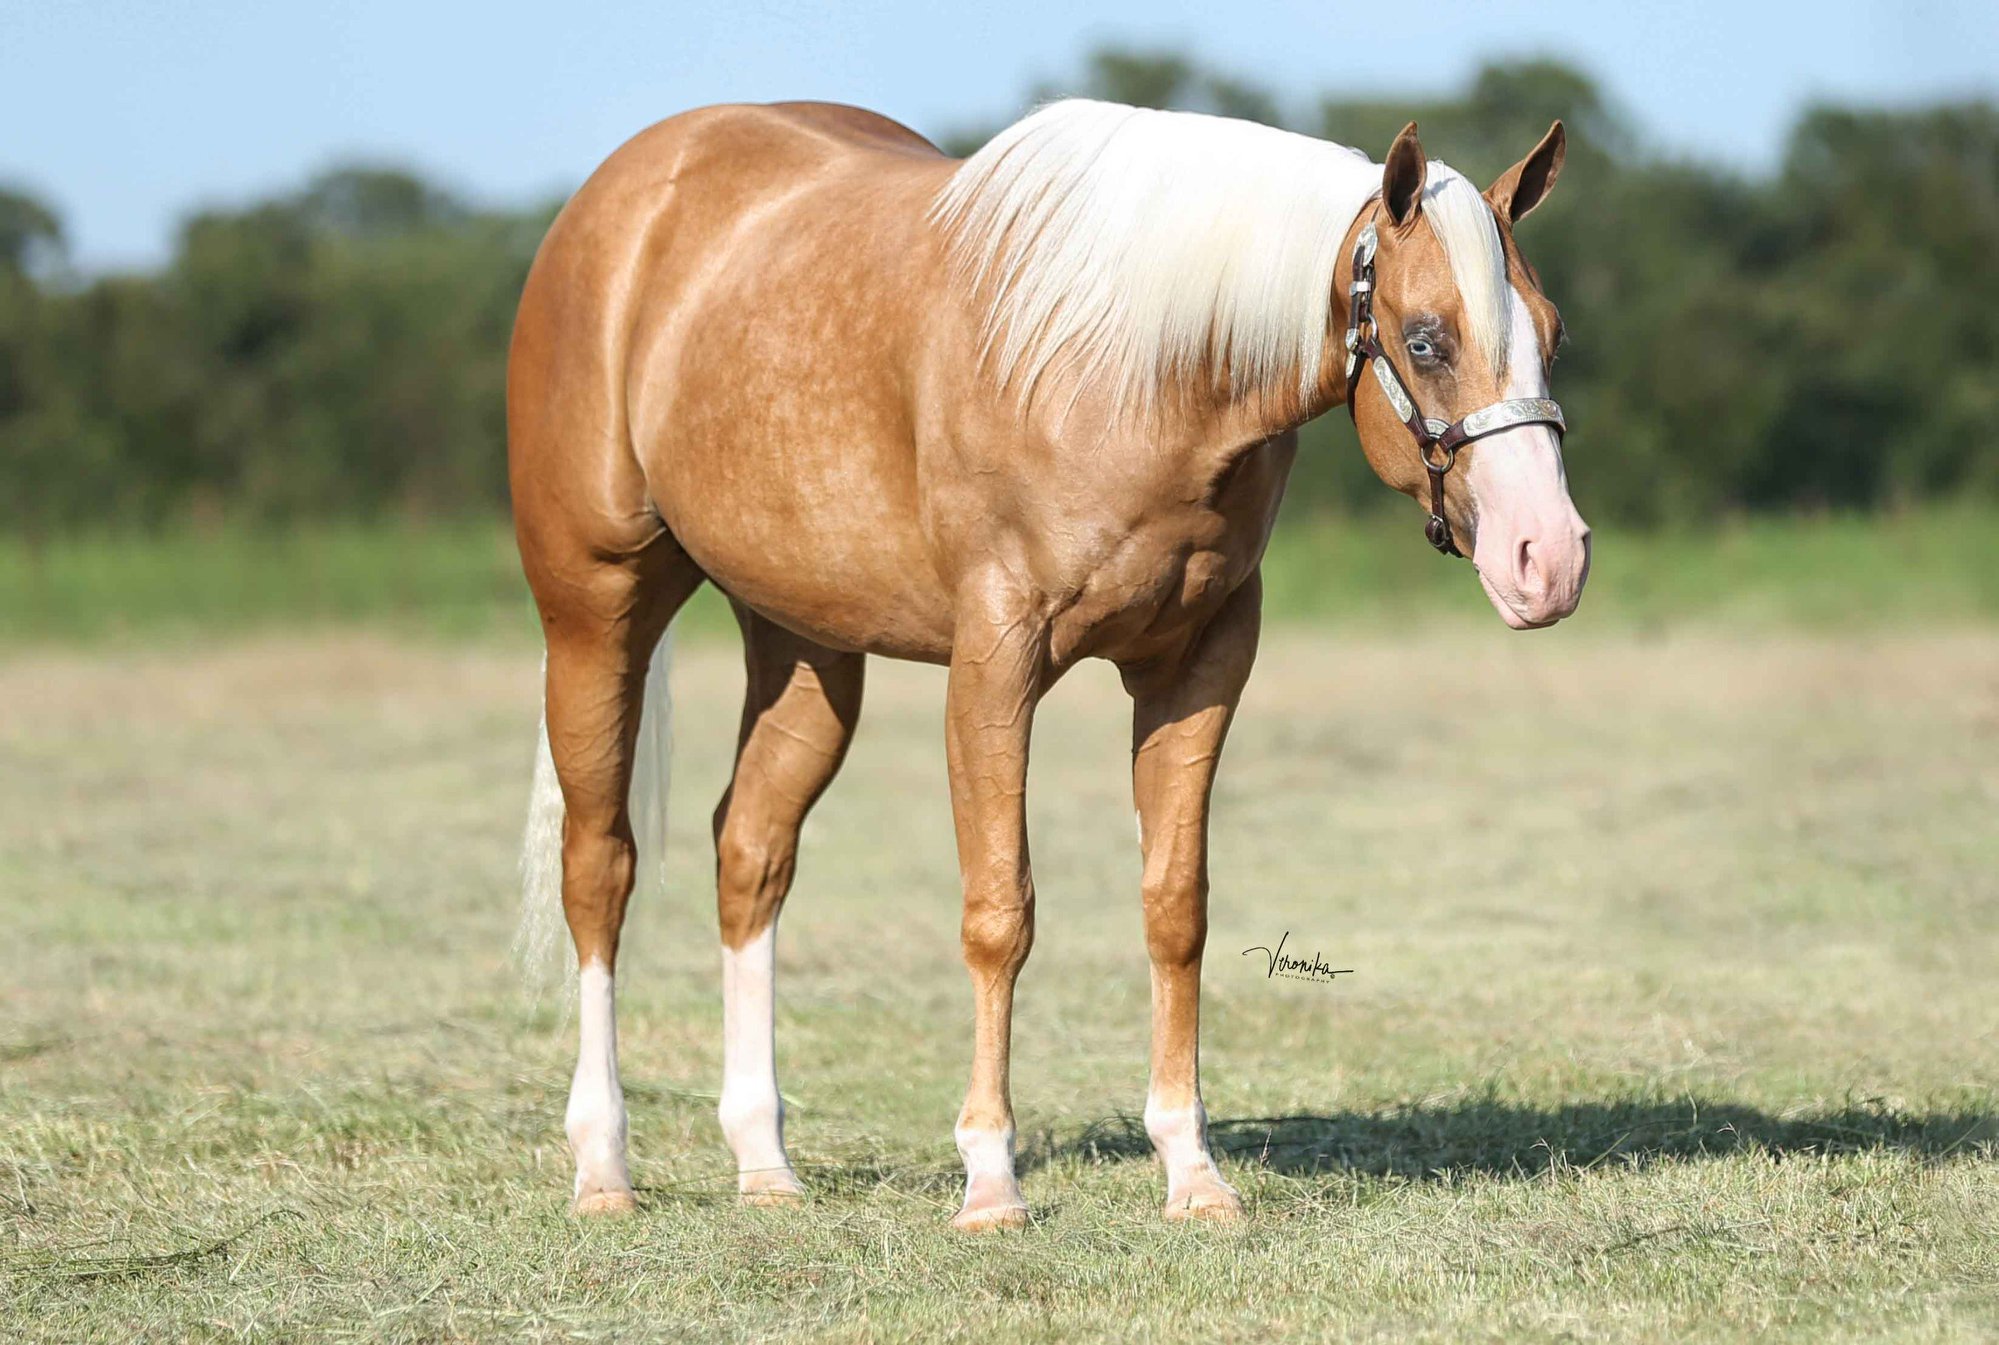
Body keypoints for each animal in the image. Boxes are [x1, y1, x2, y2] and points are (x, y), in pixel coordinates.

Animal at [509, 97, 1590, 1230]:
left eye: (1552, 332)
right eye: (1425, 339)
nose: (1548, 559)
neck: (1135, 364)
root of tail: (625, 192)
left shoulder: (1198, 667)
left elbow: (1175, 907)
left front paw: (1191, 1171)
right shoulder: (995, 663)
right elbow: (1000, 912)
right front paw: (990, 1180)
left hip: (805, 645)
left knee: (750, 854)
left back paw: (765, 1164)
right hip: (593, 613)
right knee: (599, 866)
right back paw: (603, 1166)